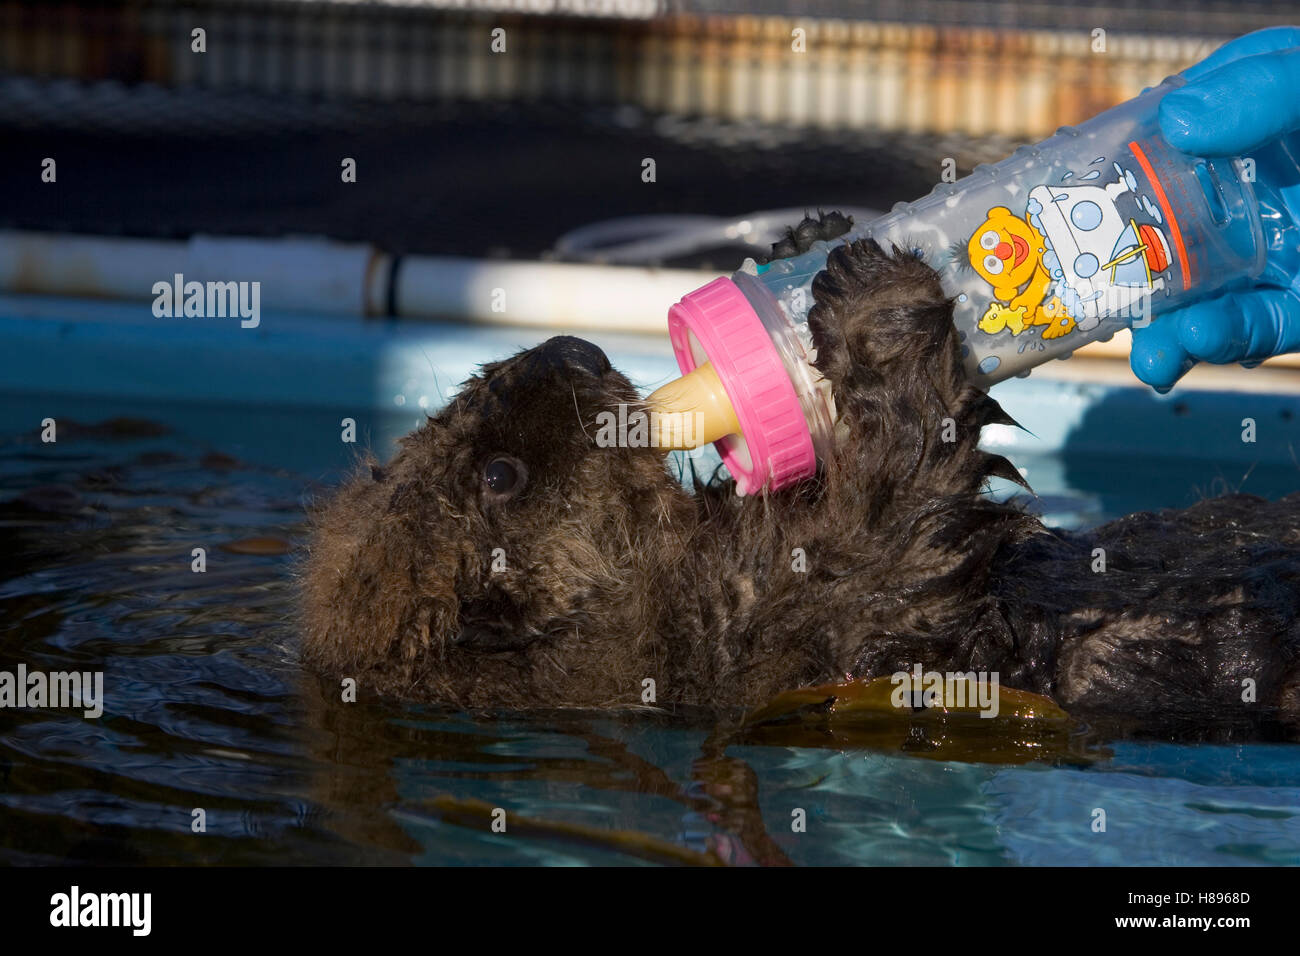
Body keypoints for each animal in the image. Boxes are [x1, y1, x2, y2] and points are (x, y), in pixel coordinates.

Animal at [299, 221, 1300, 735]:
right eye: (498, 474)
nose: (571, 349)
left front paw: (813, 236)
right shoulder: (810, 619)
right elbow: (905, 503)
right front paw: (875, 305)